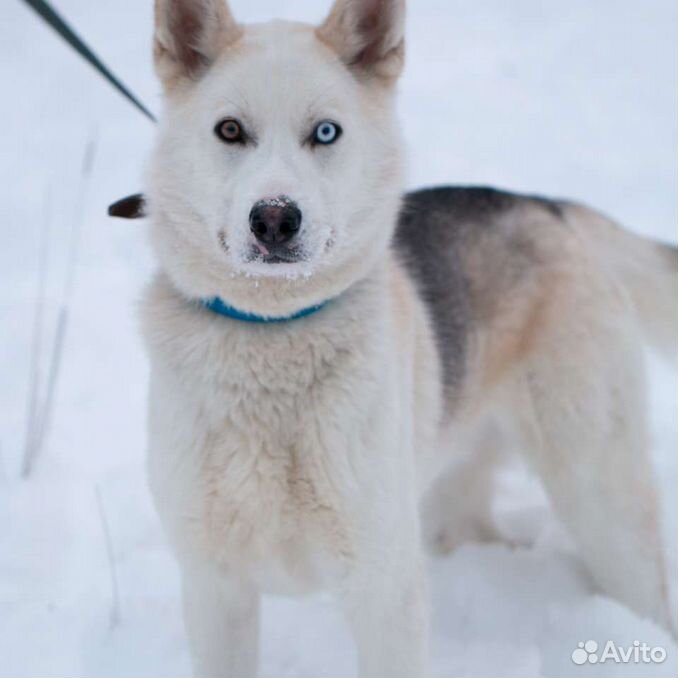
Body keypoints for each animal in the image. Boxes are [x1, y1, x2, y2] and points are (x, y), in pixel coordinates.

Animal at [139, 2, 678, 676]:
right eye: (230, 130)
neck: (274, 331)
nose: (274, 219)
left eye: (325, 133)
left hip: (602, 501)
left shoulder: (385, 588)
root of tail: (544, 205)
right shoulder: (215, 587)